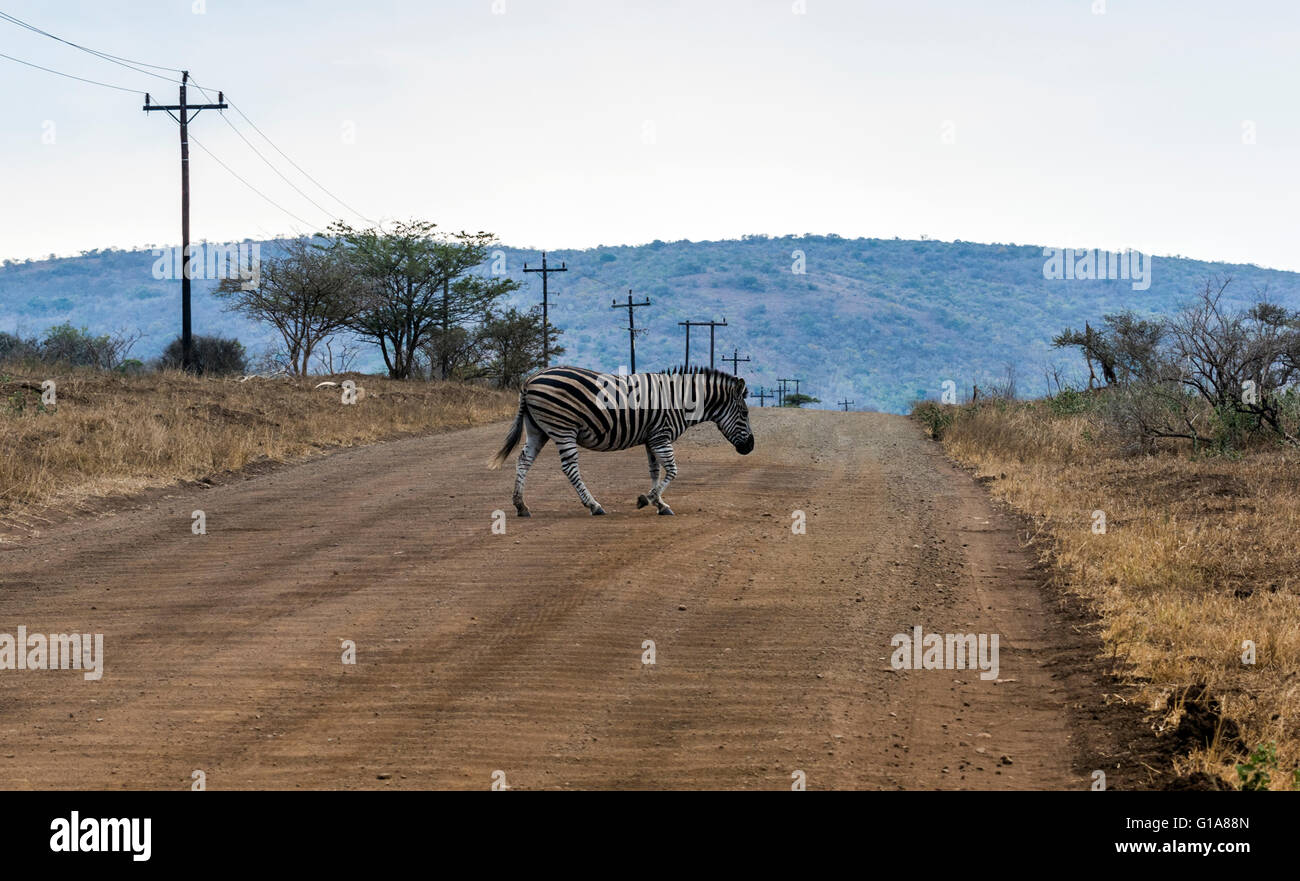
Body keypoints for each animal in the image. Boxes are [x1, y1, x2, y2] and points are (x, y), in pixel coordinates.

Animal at [488, 365, 754, 516]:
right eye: (745, 413)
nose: (750, 447)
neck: (681, 402)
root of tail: (530, 380)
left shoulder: (651, 437)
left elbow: (655, 471)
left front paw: (659, 503)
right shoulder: (661, 435)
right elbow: (672, 470)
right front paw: (647, 499)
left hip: (537, 429)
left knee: (524, 461)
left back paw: (521, 506)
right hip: (563, 427)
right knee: (569, 467)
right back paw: (594, 505)